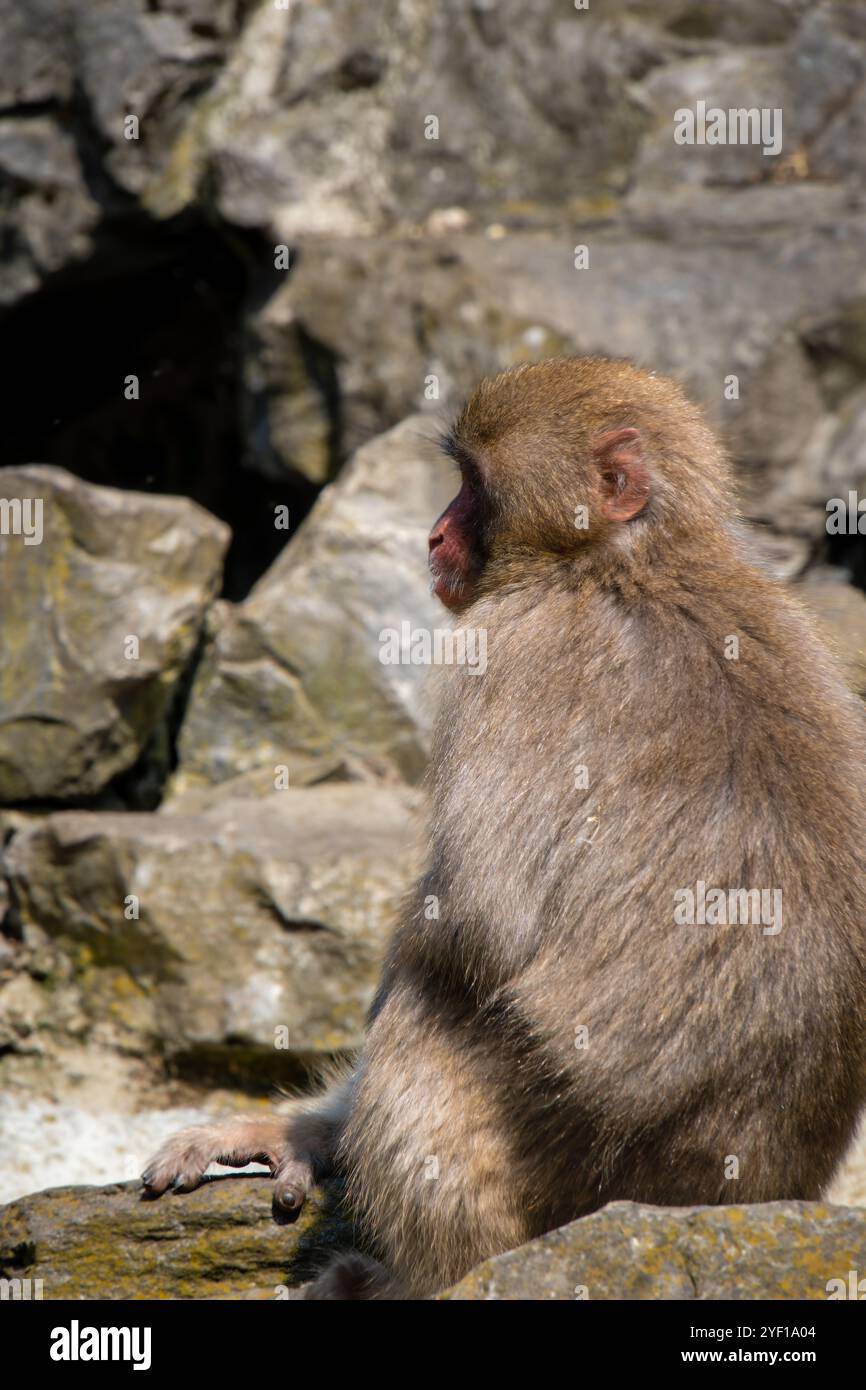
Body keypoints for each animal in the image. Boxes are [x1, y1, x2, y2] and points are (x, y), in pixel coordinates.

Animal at [143, 357, 866, 1299]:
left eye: (473, 486)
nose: (433, 537)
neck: (619, 559)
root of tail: (748, 1193)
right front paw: (295, 1131)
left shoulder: (505, 650)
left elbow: (483, 922)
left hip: (571, 1176)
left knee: (432, 1003)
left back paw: (415, 1277)